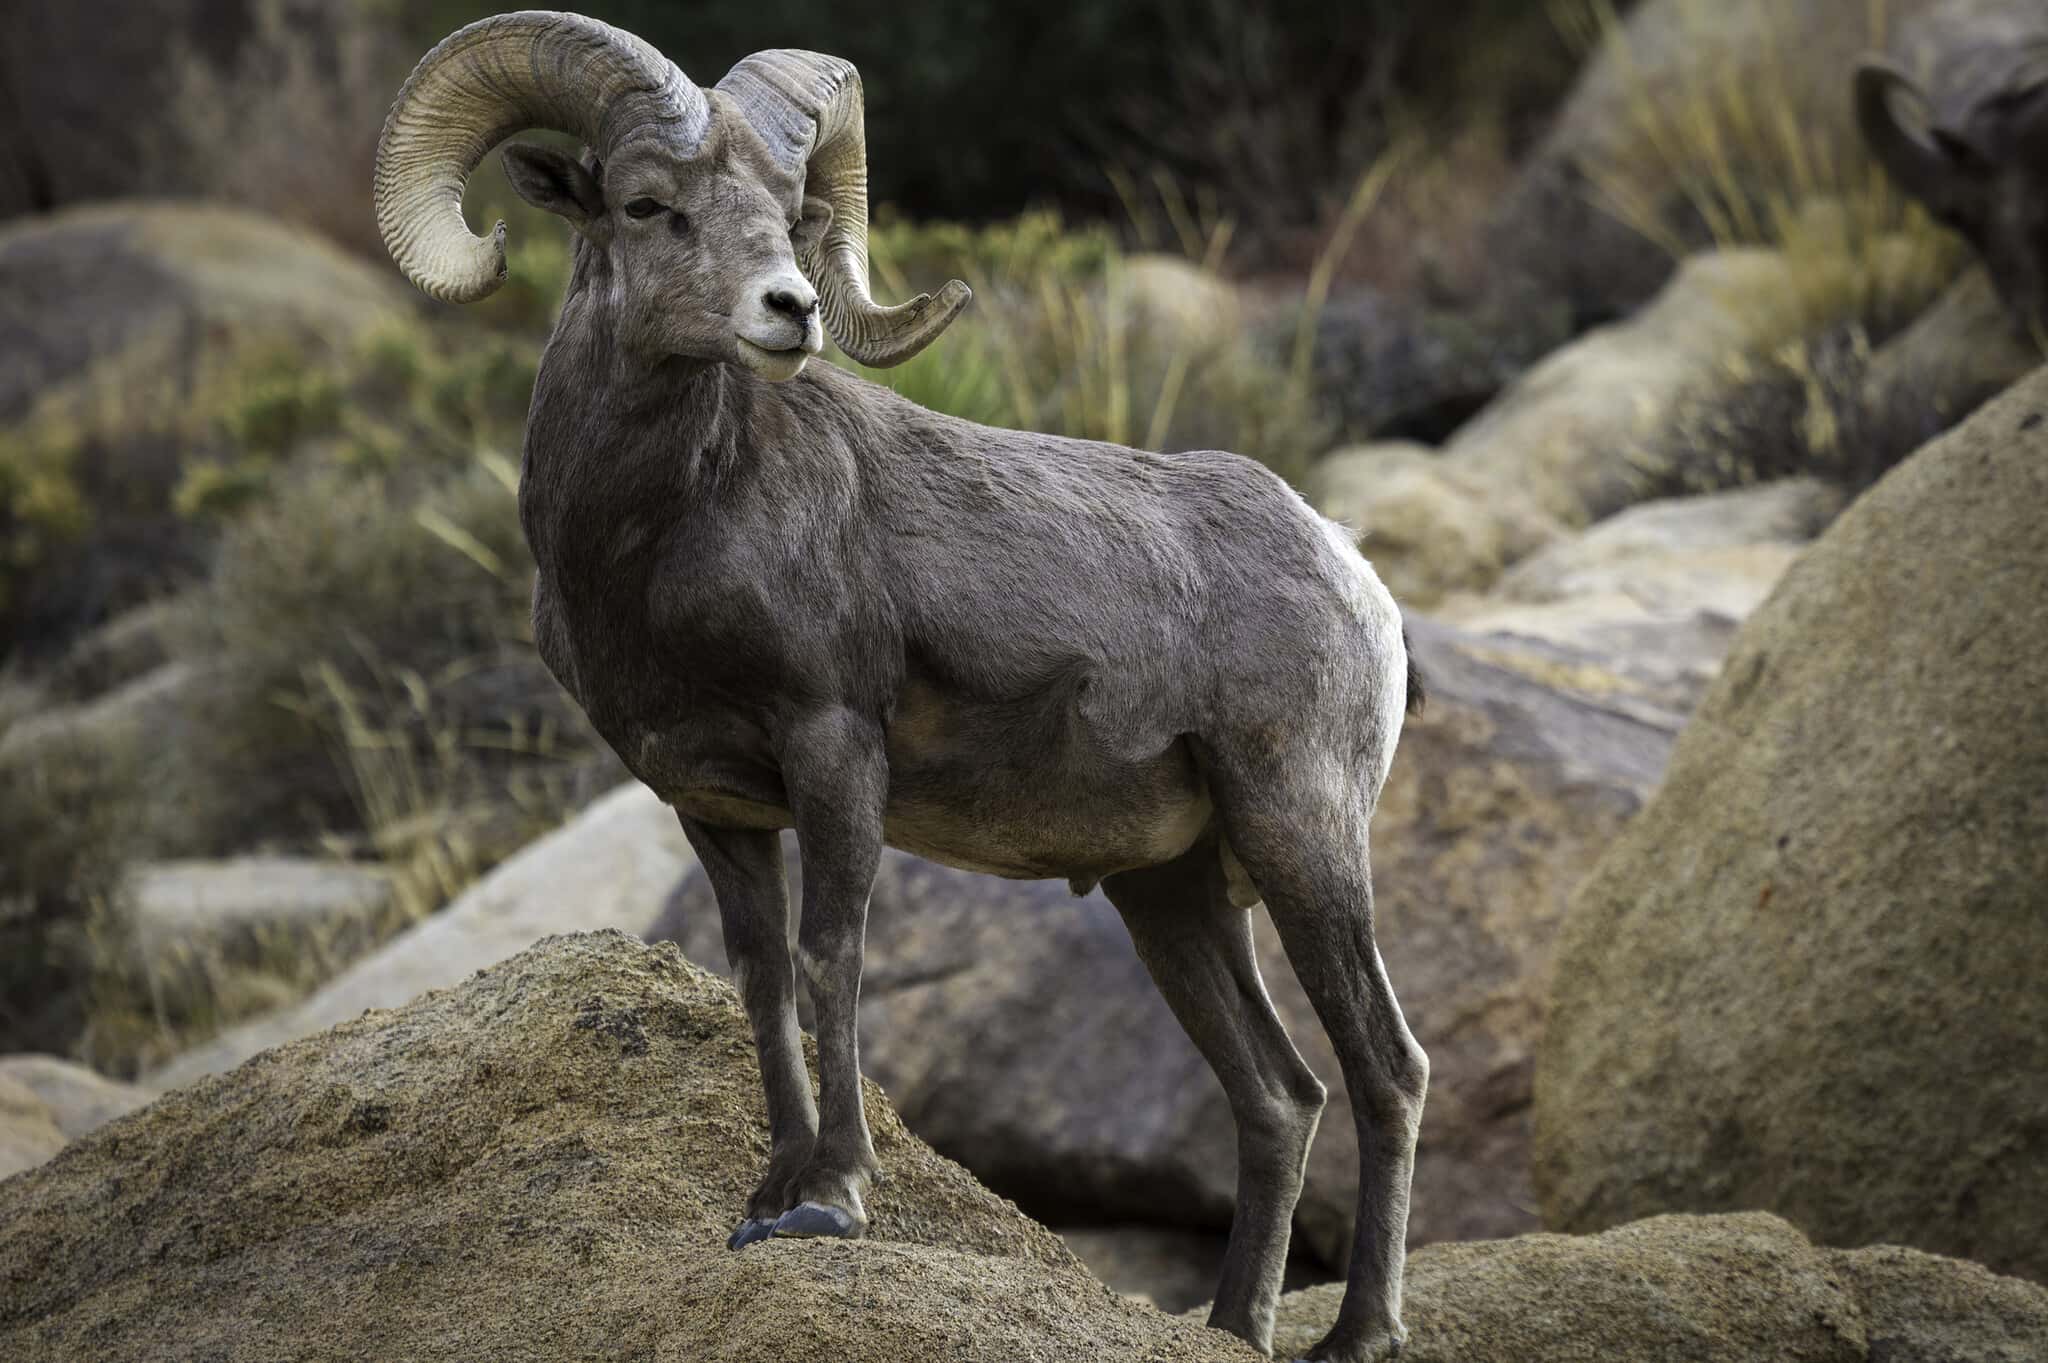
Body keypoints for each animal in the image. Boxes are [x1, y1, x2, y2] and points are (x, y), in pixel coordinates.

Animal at [374, 13, 1426, 1361]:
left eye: (786, 212)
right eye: (649, 204)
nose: (789, 311)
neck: (658, 538)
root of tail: (1352, 571)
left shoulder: (834, 754)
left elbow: (832, 958)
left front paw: (832, 1199)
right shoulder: (714, 805)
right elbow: (762, 978)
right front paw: (768, 1199)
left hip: (1300, 837)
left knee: (1384, 1067)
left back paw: (1359, 1333)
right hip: (1170, 893)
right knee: (1278, 1094)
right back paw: (1235, 1325)